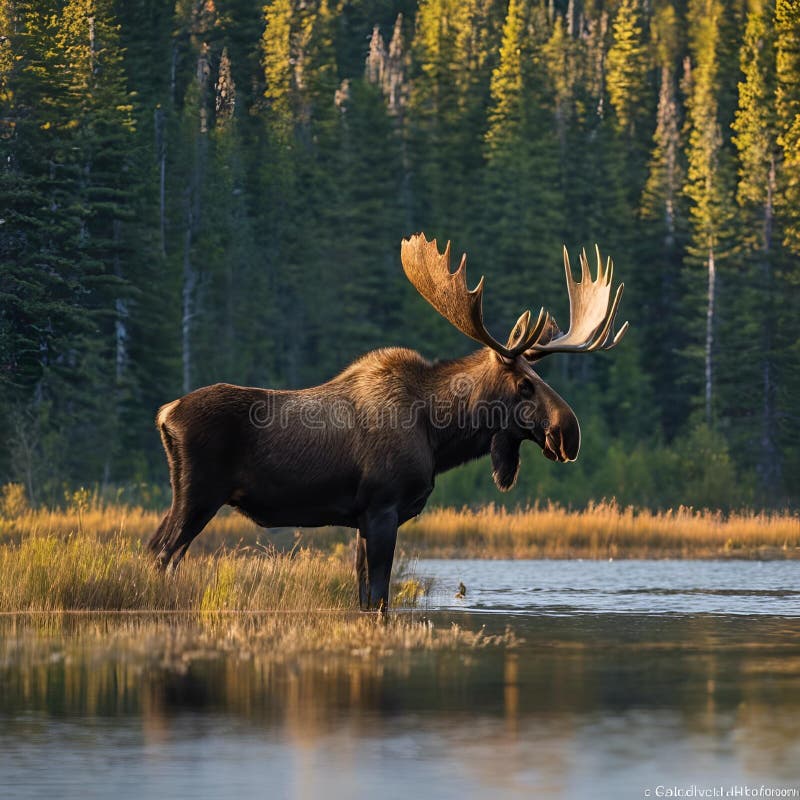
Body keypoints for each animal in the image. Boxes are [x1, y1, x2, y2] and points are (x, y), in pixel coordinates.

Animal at [149, 233, 628, 610]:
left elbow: (365, 596)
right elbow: (379, 597)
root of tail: (164, 414)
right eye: (525, 385)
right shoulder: (383, 507)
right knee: (162, 552)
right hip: (198, 494)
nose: (570, 434)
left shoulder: (362, 518)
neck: (438, 433)